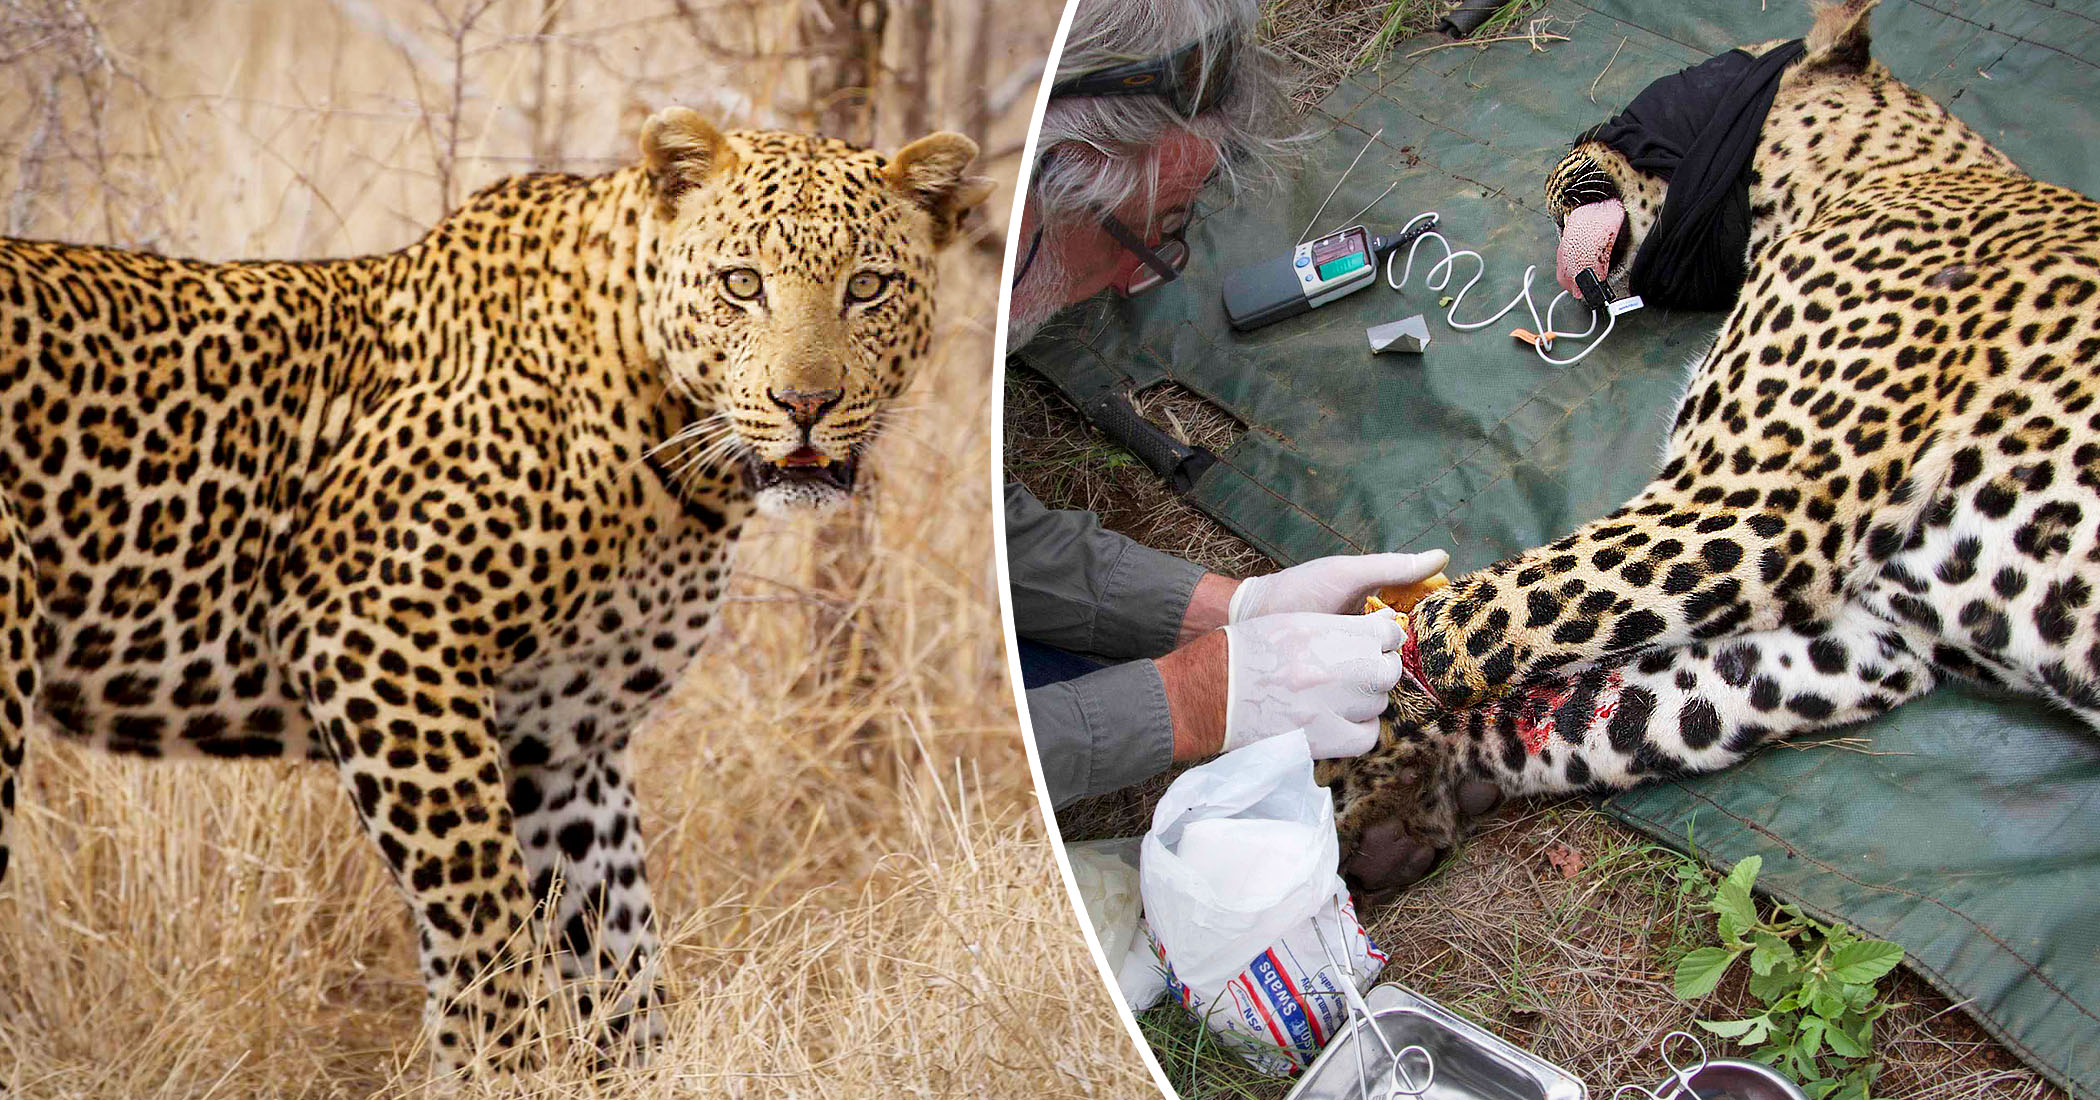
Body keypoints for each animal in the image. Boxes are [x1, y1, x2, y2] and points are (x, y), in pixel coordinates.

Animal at [0, 107, 992, 1076]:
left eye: (867, 287)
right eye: (742, 283)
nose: (805, 405)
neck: (672, 451)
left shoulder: (566, 742)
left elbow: (620, 964)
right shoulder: (379, 640)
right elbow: (485, 936)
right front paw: (493, 1076)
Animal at [1325, 0, 2100, 901]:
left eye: (1649, 99)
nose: (1554, 165)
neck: (1871, 174)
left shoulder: (1744, 501)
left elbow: (1472, 619)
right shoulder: (1869, 639)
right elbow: (1611, 706)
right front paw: (1404, 785)